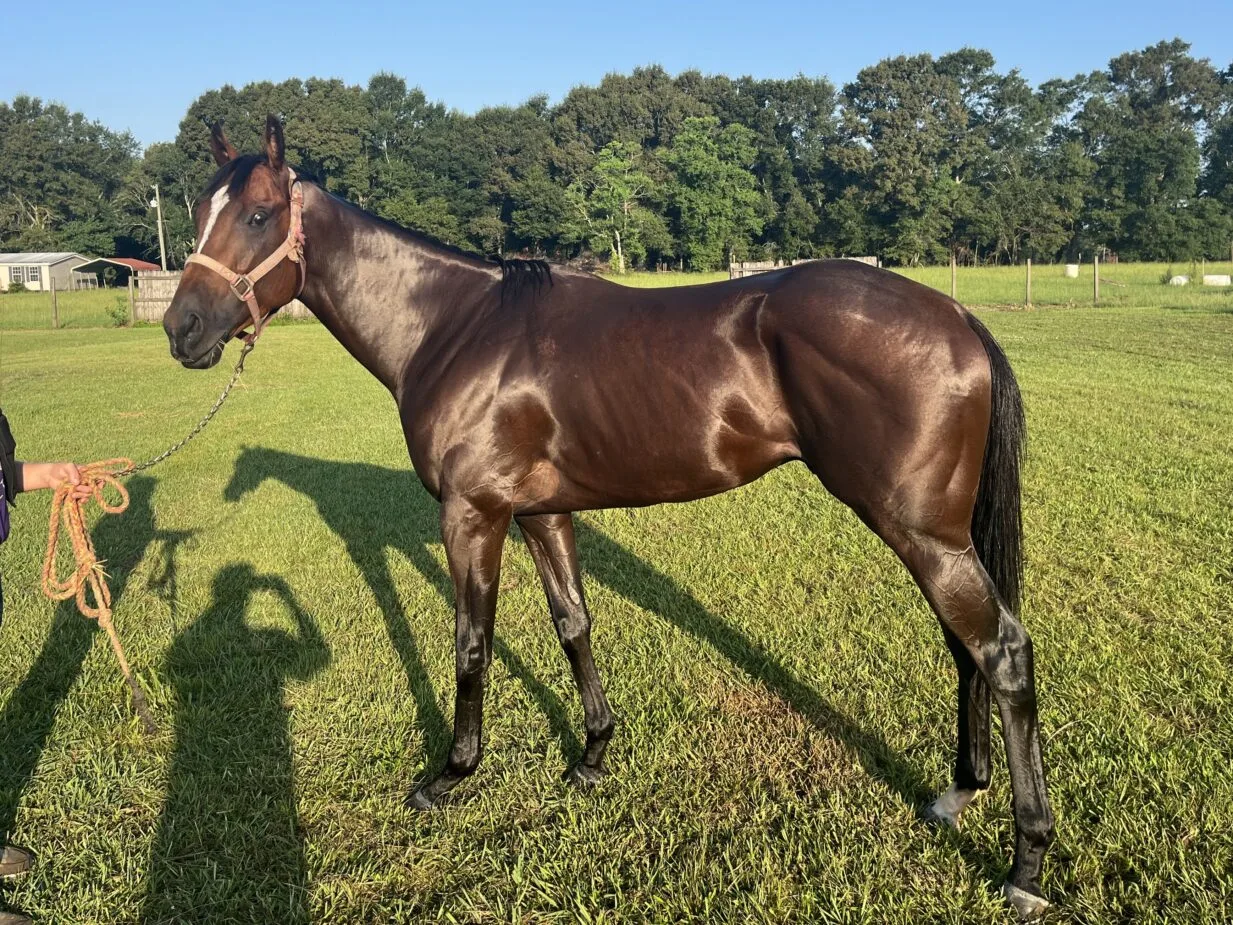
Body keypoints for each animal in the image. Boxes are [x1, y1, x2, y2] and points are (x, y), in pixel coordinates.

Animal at [162, 116, 1054, 919]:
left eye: (257, 214)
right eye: (199, 210)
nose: (182, 328)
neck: (452, 328)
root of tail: (955, 316)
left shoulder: (472, 515)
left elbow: (470, 642)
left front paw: (452, 773)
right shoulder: (541, 513)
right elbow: (573, 623)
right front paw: (592, 753)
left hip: (922, 534)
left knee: (1001, 651)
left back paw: (1025, 862)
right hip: (938, 535)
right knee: (965, 650)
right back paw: (958, 792)